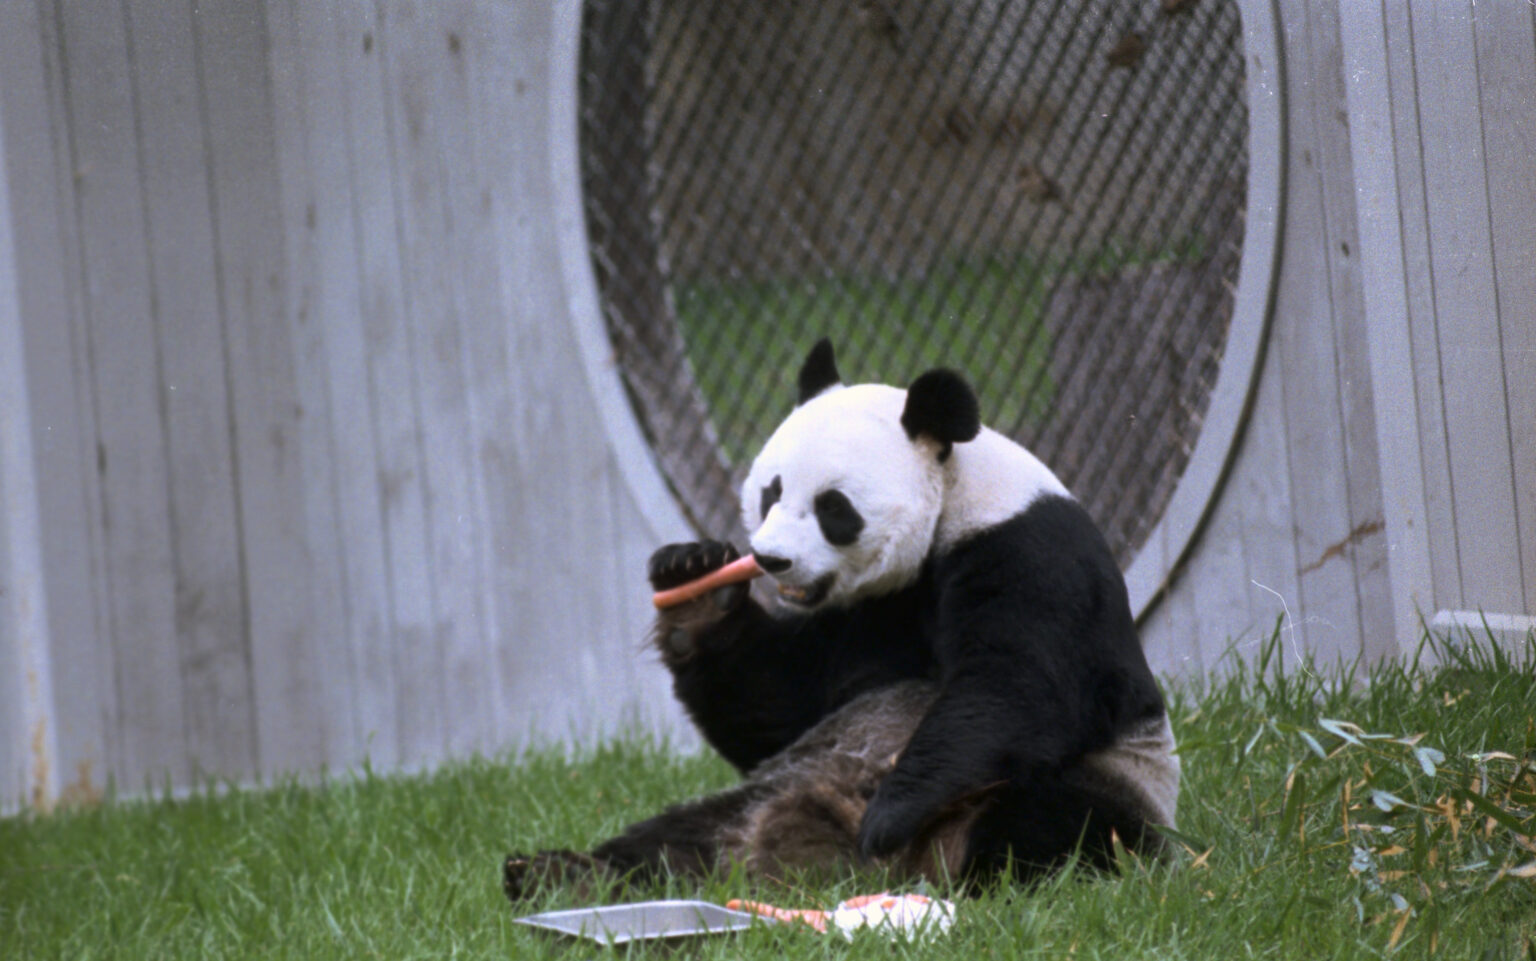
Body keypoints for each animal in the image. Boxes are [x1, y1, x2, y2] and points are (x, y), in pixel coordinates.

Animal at [502, 339, 1178, 902]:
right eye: (771, 492)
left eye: (833, 508)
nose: (772, 560)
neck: (950, 504)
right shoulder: (859, 616)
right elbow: (778, 704)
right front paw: (693, 582)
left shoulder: (1031, 550)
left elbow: (1021, 684)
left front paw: (891, 813)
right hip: (760, 794)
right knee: (672, 842)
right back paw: (557, 876)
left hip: (1111, 785)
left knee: (1052, 824)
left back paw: (978, 876)